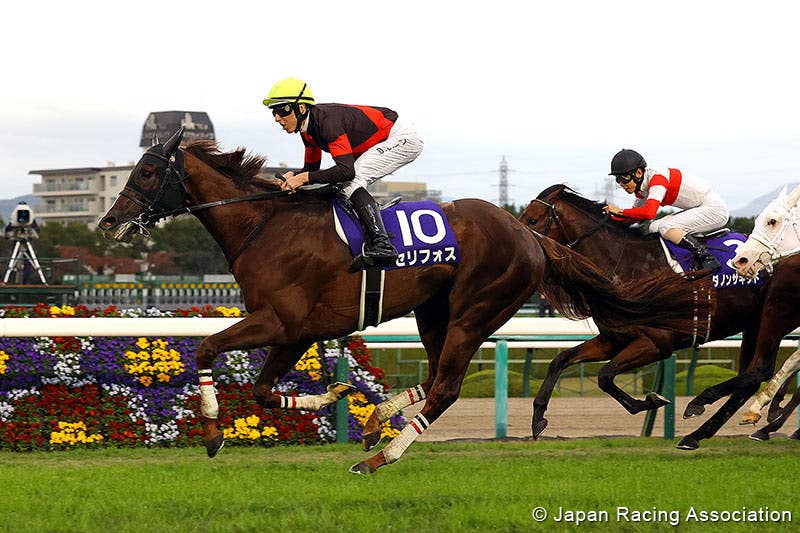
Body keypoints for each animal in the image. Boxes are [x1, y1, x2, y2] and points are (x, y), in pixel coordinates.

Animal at [98, 129, 712, 473]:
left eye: (147, 171)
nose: (108, 222)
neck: (264, 224)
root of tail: (529, 234)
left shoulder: (277, 319)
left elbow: (207, 352)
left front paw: (210, 433)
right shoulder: (295, 329)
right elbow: (264, 390)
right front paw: (337, 395)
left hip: (475, 311)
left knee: (447, 386)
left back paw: (378, 457)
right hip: (432, 311)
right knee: (436, 373)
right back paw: (380, 421)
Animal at [519, 184, 800, 450]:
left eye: (532, 220)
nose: (520, 245)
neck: (627, 267)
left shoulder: (657, 342)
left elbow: (605, 375)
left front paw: (651, 400)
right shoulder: (613, 340)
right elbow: (562, 361)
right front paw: (538, 418)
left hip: (774, 315)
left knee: (760, 369)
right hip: (752, 324)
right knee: (751, 378)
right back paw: (702, 433)